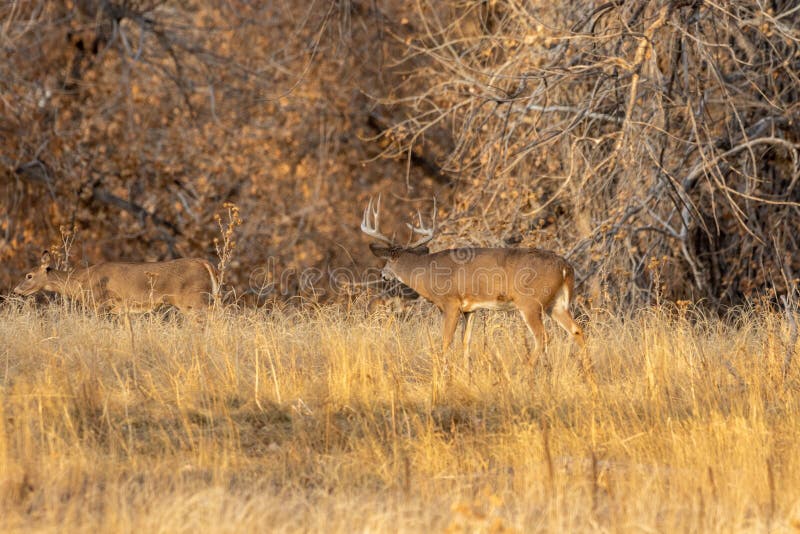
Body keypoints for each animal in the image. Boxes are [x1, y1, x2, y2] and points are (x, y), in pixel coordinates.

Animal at [13, 251, 219, 315]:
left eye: (29, 275)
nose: (16, 291)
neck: (81, 282)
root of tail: (205, 263)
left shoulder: (100, 304)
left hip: (195, 299)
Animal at [361, 196, 585, 362]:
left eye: (387, 262)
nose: (383, 275)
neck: (427, 272)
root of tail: (565, 267)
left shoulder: (450, 303)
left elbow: (446, 342)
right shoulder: (470, 309)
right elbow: (465, 343)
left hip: (530, 302)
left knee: (543, 337)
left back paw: (526, 371)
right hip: (556, 303)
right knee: (576, 330)